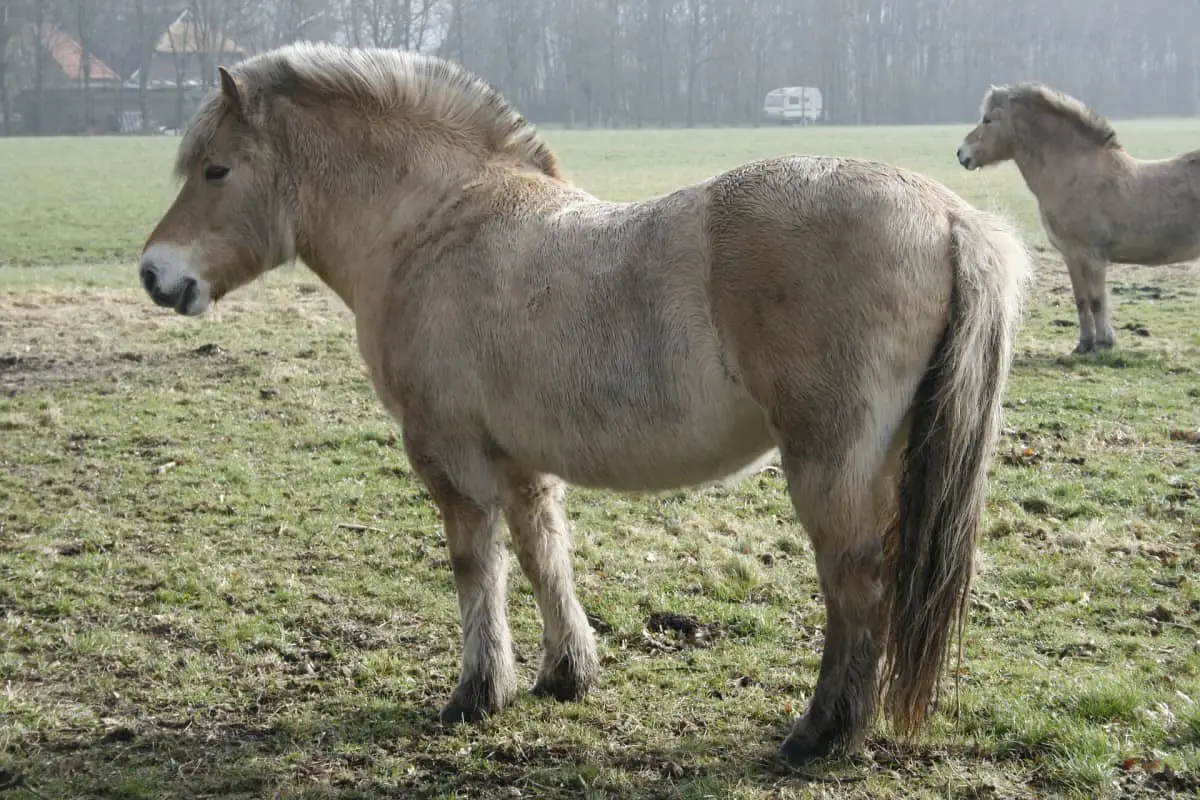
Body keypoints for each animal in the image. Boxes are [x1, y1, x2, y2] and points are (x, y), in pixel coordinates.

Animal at [137, 41, 1030, 763]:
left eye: (217, 169)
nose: (154, 273)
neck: (433, 227)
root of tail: (947, 217)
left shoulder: (447, 452)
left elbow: (477, 564)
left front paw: (477, 692)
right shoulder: (518, 460)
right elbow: (543, 555)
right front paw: (567, 673)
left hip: (829, 463)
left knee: (853, 581)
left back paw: (819, 733)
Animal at [956, 81, 1200, 354]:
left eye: (988, 120)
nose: (961, 154)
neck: (1075, 175)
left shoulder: (1093, 256)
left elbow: (1097, 300)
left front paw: (1104, 342)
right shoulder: (1071, 256)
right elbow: (1081, 300)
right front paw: (1084, 343)